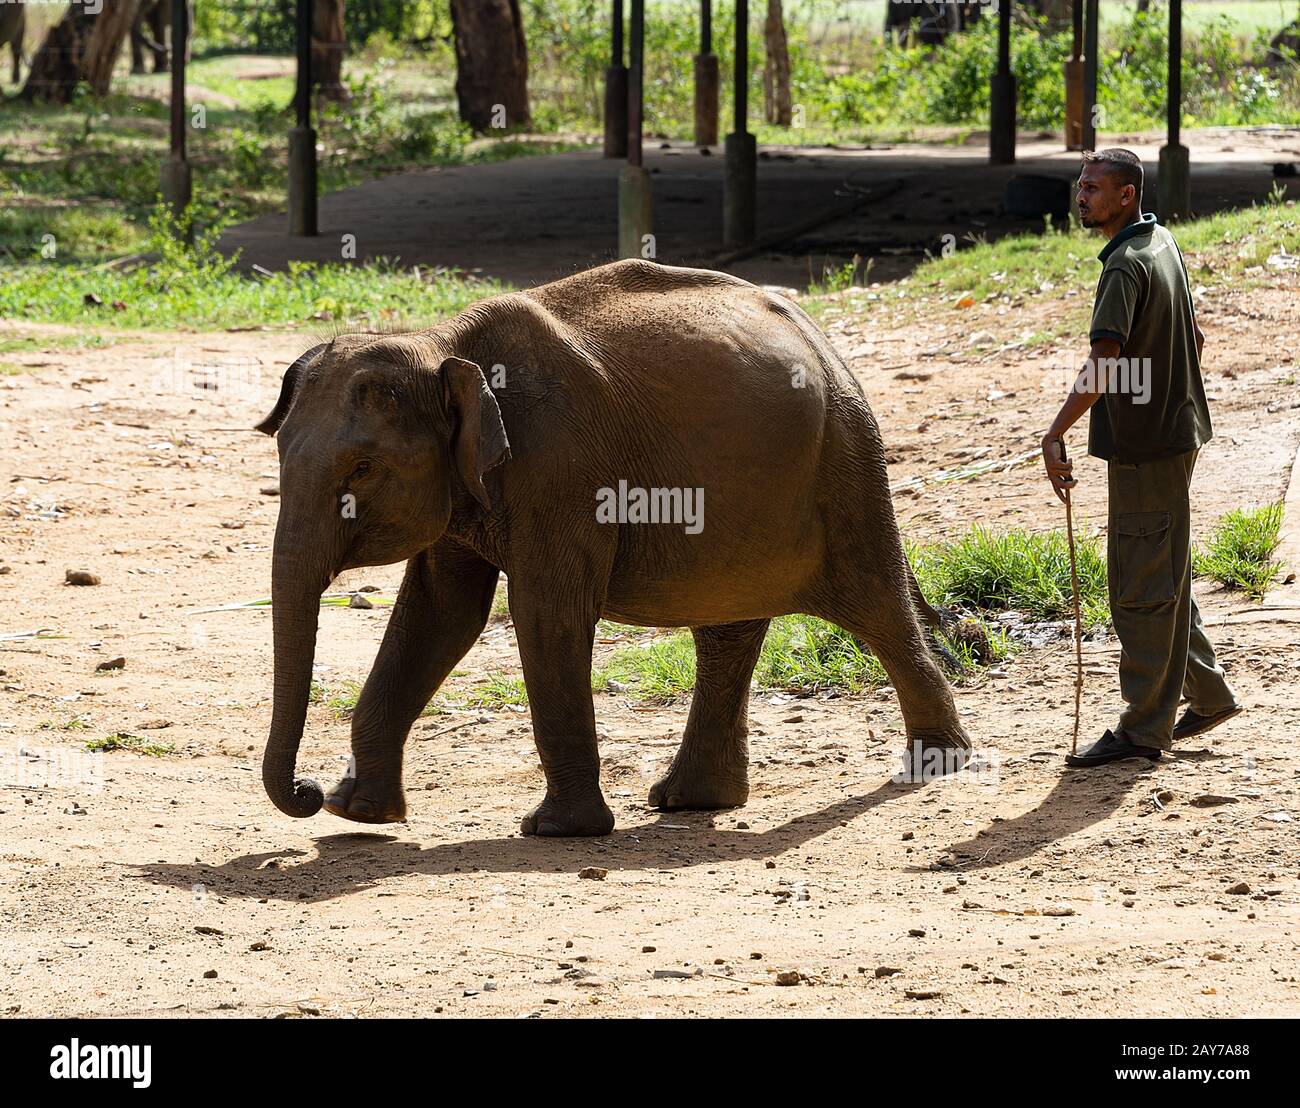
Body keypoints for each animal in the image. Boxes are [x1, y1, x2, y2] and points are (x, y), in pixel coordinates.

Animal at [255, 259, 971, 836]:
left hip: (845, 464)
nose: (307, 791)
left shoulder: (562, 469)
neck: (441, 343)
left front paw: (556, 831)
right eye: (280, 451)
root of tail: (822, 339)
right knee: (729, 628)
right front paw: (358, 813)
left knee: (875, 605)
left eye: (361, 470)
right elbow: (440, 614)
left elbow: (545, 613)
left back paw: (937, 763)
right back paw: (691, 801)